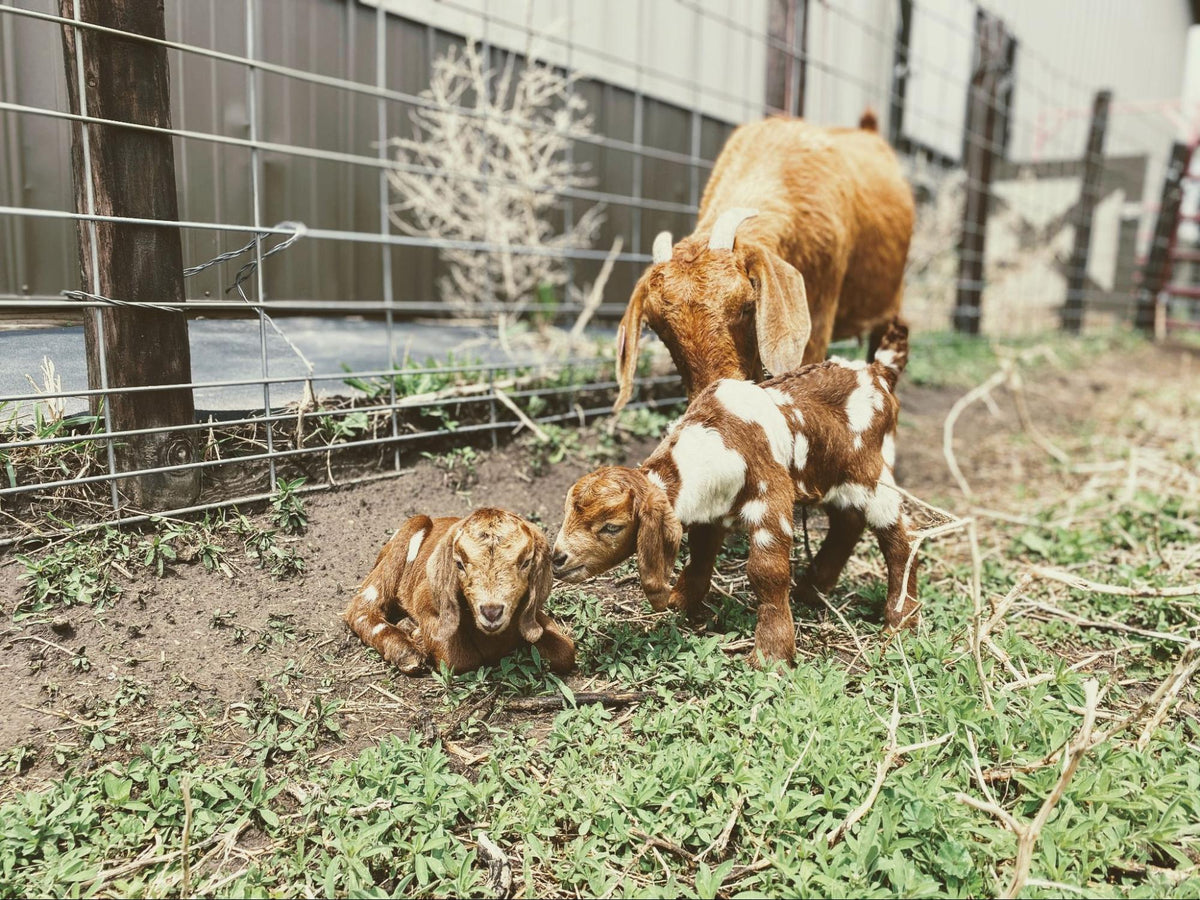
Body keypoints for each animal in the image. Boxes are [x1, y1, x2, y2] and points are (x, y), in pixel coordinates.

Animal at [344, 508, 575, 674]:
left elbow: (566, 651)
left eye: (526, 562)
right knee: (361, 606)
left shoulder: (531, 615)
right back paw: (406, 652)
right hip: (406, 536)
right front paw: (419, 637)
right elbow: (460, 660)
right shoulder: (426, 599)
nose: (491, 612)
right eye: (459, 564)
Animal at [555, 321, 917, 665]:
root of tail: (878, 372)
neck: (716, 436)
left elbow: (766, 572)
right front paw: (680, 601)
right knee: (848, 522)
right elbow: (701, 554)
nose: (558, 557)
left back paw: (900, 620)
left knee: (902, 538)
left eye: (611, 527)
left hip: (874, 472)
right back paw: (811, 589)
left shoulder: (771, 495)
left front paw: (771, 655)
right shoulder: (709, 510)